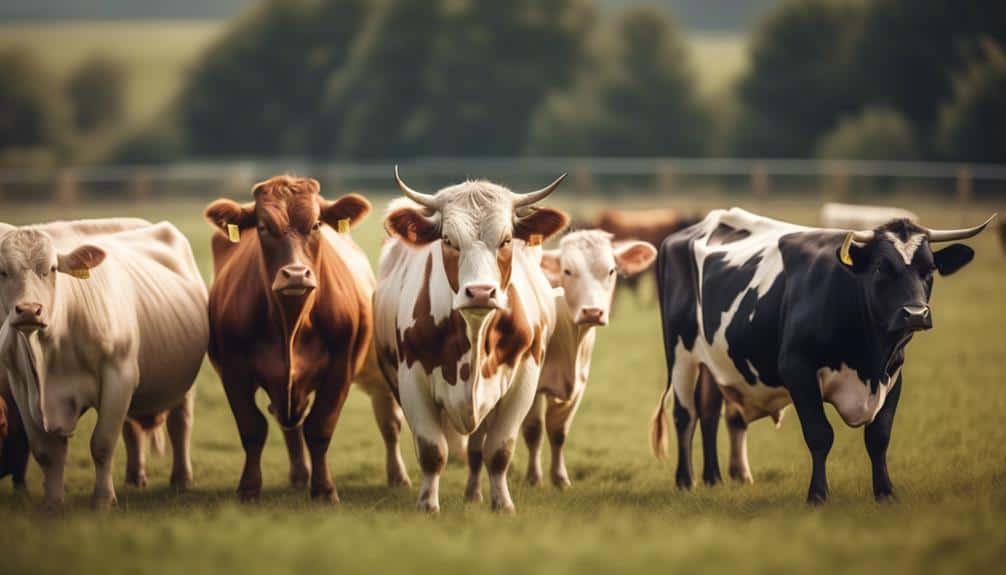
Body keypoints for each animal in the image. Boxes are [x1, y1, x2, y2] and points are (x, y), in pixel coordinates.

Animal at [0, 218, 207, 511]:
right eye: (2, 271)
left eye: (51, 269)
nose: (29, 310)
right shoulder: (20, 386)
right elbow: (47, 451)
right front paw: (53, 503)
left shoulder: (118, 376)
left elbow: (102, 444)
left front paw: (103, 500)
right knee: (132, 429)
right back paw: (134, 478)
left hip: (183, 383)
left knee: (180, 425)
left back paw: (181, 479)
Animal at [205, 175, 409, 504]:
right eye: (262, 226)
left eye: (315, 225)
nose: (296, 275)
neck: (291, 323)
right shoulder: (233, 370)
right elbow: (252, 428)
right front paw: (249, 488)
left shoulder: (341, 368)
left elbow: (320, 427)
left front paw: (324, 489)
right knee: (289, 424)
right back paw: (300, 475)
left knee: (389, 421)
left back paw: (397, 476)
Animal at [375, 168, 569, 513]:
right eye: (448, 240)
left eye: (506, 240)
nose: (480, 292)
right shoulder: (411, 380)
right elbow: (432, 450)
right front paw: (428, 504)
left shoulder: (524, 379)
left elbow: (499, 451)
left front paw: (502, 504)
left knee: (478, 449)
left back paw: (475, 493)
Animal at [518, 230, 656, 488]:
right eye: (567, 271)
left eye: (611, 270)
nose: (592, 312)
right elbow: (533, 430)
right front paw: (533, 479)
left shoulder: (579, 385)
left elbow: (558, 431)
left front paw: (560, 479)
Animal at [650, 207, 994, 503]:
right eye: (881, 267)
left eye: (929, 269)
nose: (916, 313)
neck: (869, 358)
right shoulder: (797, 370)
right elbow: (819, 434)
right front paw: (817, 495)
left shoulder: (894, 374)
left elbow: (879, 436)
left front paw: (885, 492)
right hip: (681, 354)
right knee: (685, 415)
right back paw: (685, 481)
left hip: (715, 361)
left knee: (709, 412)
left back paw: (713, 479)